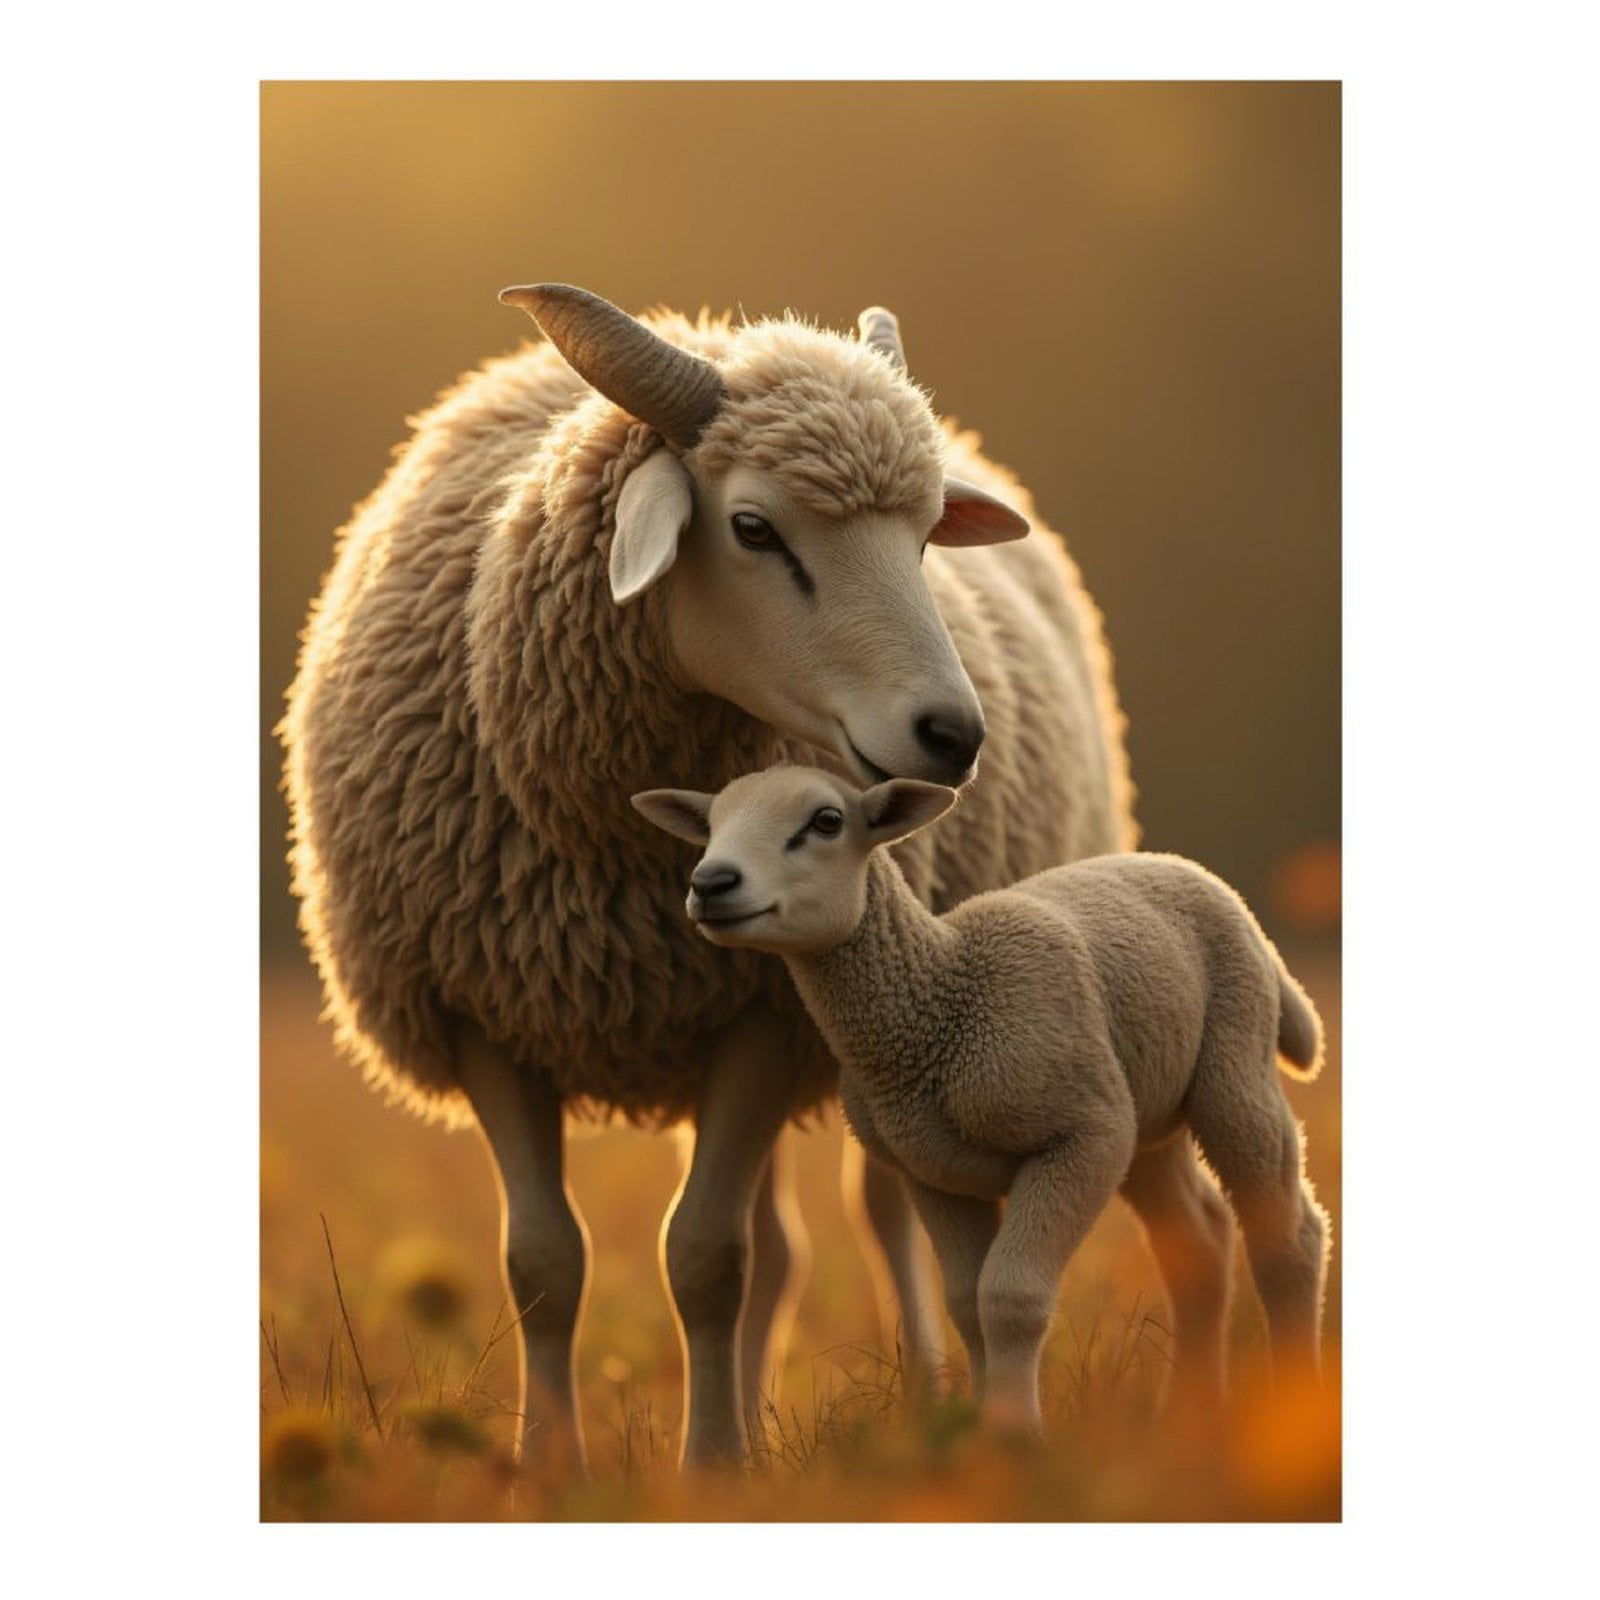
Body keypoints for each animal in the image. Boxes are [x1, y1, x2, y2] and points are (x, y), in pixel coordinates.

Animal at [279, 283, 1139, 1469]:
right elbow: (543, 1263)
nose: (955, 736)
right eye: (753, 528)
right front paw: (550, 1469)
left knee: (877, 1212)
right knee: (781, 1242)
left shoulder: (767, 1018)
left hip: (912, 1022)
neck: (610, 856)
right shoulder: (480, 1013)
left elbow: (706, 1258)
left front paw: (715, 1467)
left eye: (926, 538)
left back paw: (929, 1400)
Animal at [633, 765, 1330, 1436]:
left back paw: (1293, 1404)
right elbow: (967, 1305)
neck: (942, 997)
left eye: (827, 821)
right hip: (1144, 1111)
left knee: (1288, 1235)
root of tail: (1194, 873)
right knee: (1198, 1238)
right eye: (711, 825)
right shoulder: (935, 1170)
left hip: (1233, 1063)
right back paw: (1189, 1415)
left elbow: (1010, 1299)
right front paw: (980, 1427)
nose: (711, 882)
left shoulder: (1079, 1136)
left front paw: (1016, 1436)